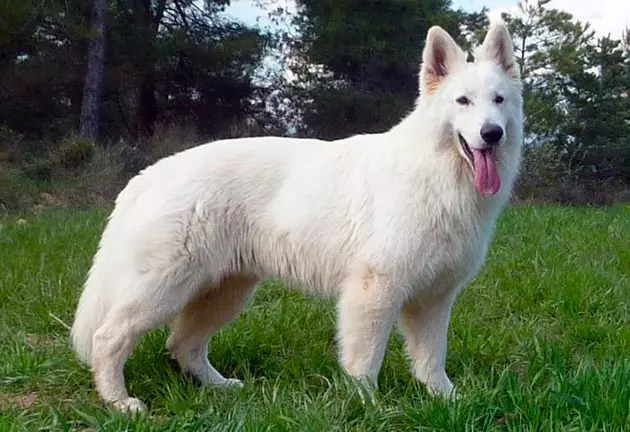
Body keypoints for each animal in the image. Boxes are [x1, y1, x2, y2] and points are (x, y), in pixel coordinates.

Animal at [70, 20, 524, 412]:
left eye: (498, 100)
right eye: (462, 101)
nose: (491, 134)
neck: (437, 174)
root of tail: (149, 174)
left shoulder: (433, 300)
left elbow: (432, 359)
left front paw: (447, 400)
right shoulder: (374, 293)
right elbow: (366, 361)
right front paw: (370, 407)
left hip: (226, 292)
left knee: (183, 344)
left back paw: (220, 387)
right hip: (163, 289)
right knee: (108, 338)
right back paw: (119, 402)